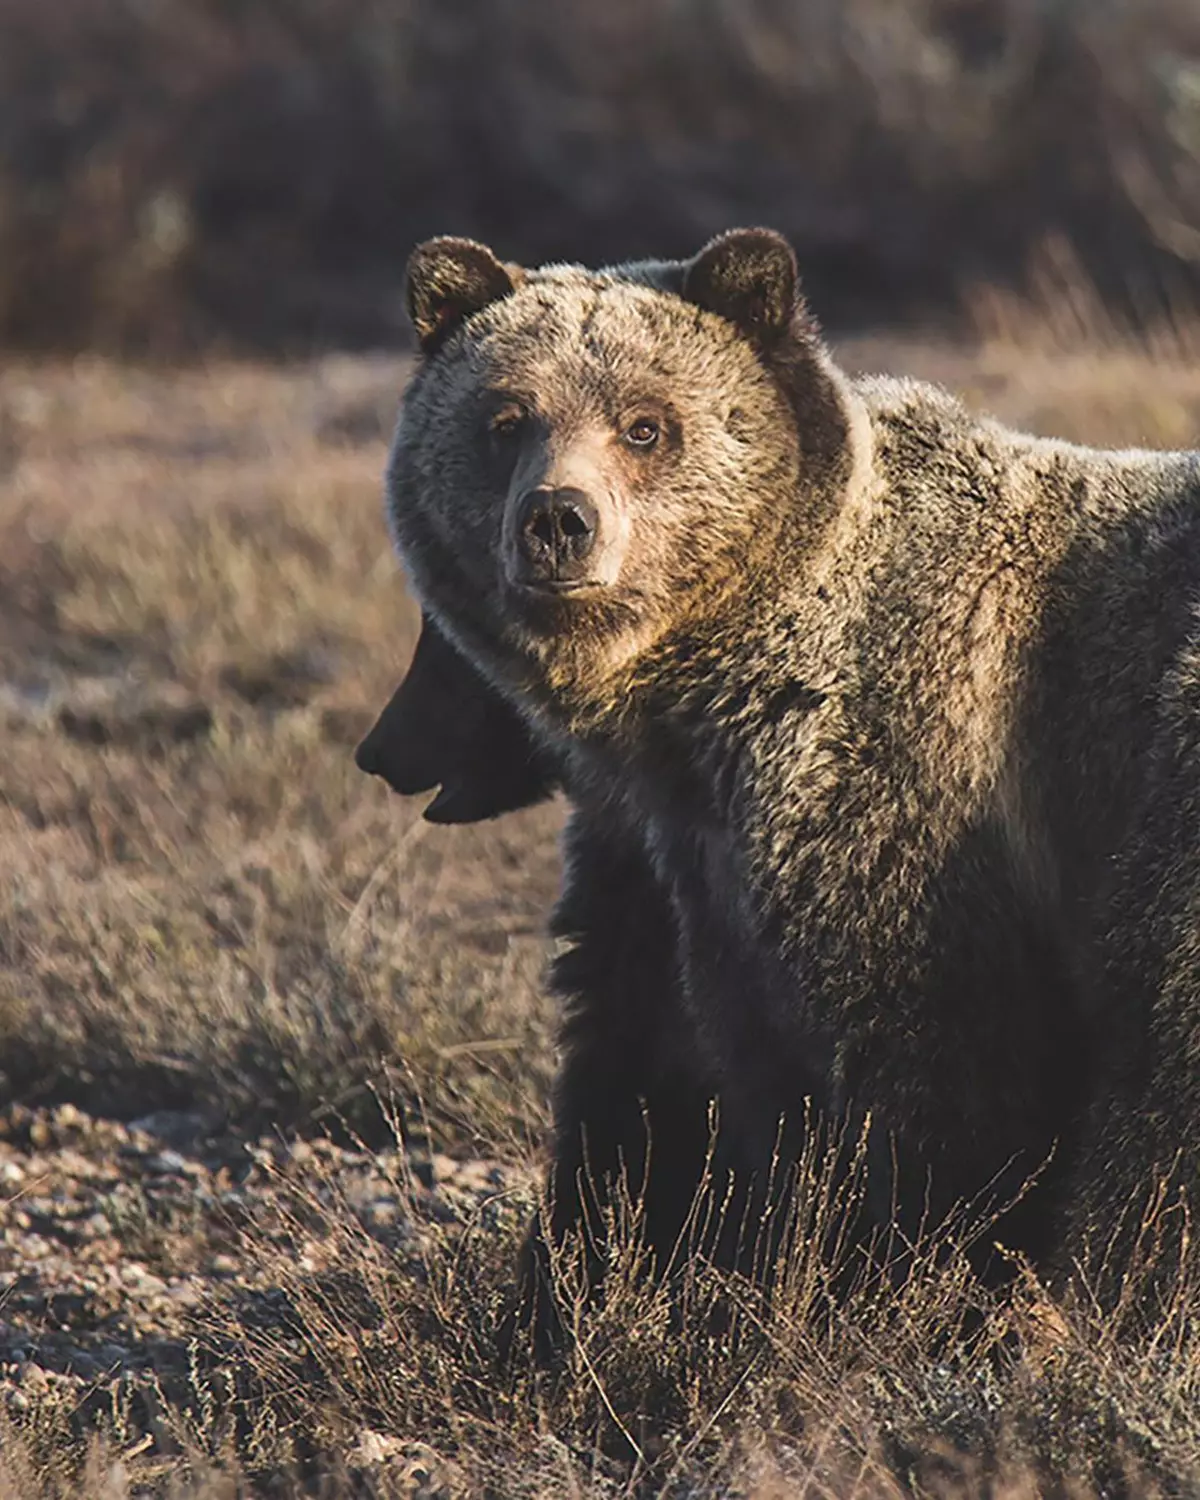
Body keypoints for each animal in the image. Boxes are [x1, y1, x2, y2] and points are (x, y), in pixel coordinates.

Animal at [361, 228, 1200, 1332]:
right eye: (506, 420)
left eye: (645, 426)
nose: (557, 521)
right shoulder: (697, 874)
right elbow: (687, 1069)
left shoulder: (913, 802)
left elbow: (938, 1084)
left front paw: (896, 1286)